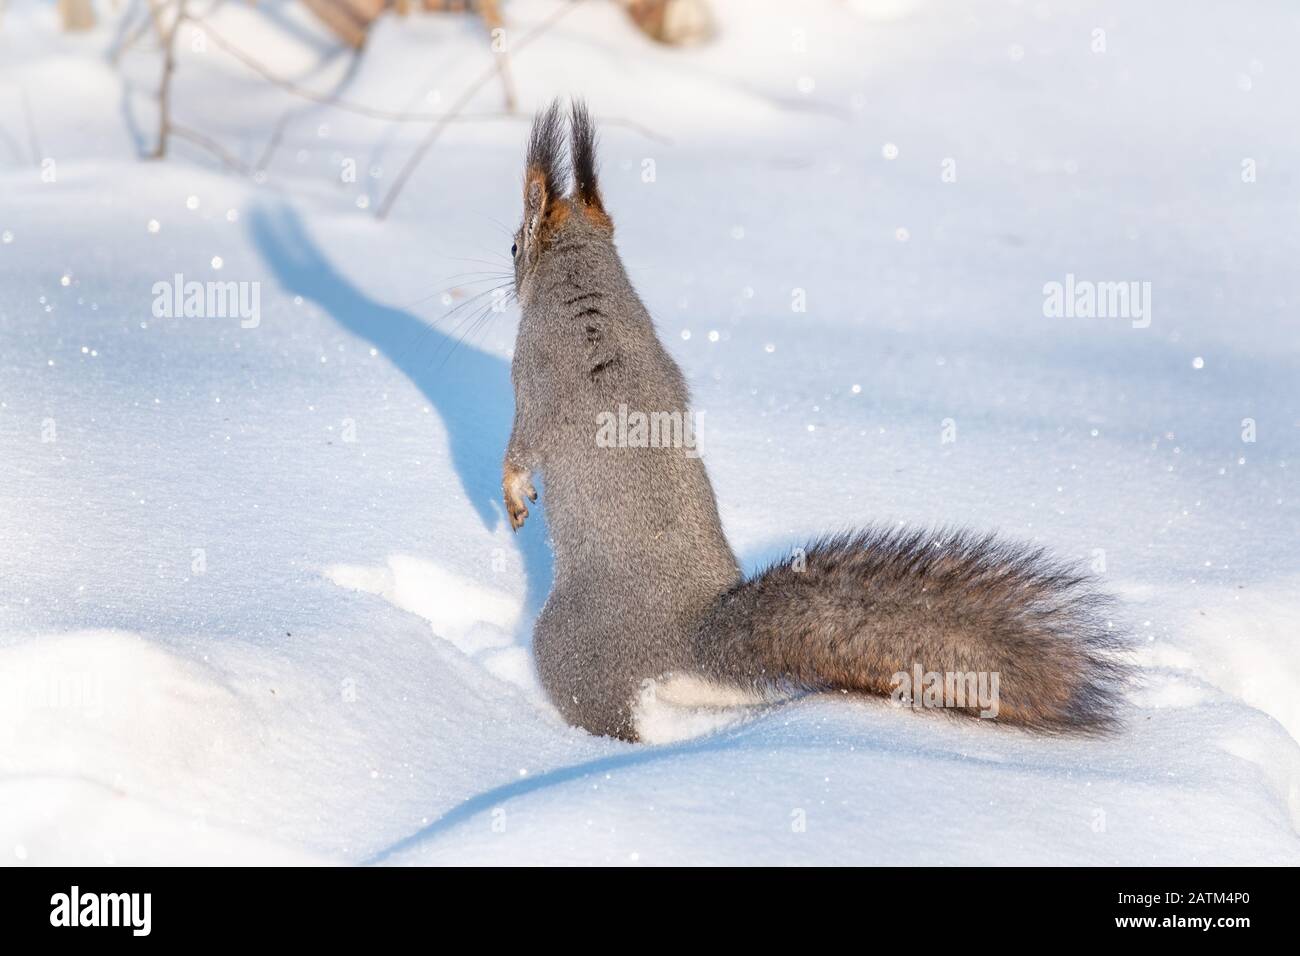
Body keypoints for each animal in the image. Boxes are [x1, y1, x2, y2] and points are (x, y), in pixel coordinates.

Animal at [503, 100, 1126, 742]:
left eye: (513, 248)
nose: (508, 277)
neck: (588, 284)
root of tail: (688, 642)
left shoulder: (534, 378)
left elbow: (522, 447)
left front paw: (514, 493)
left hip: (571, 652)